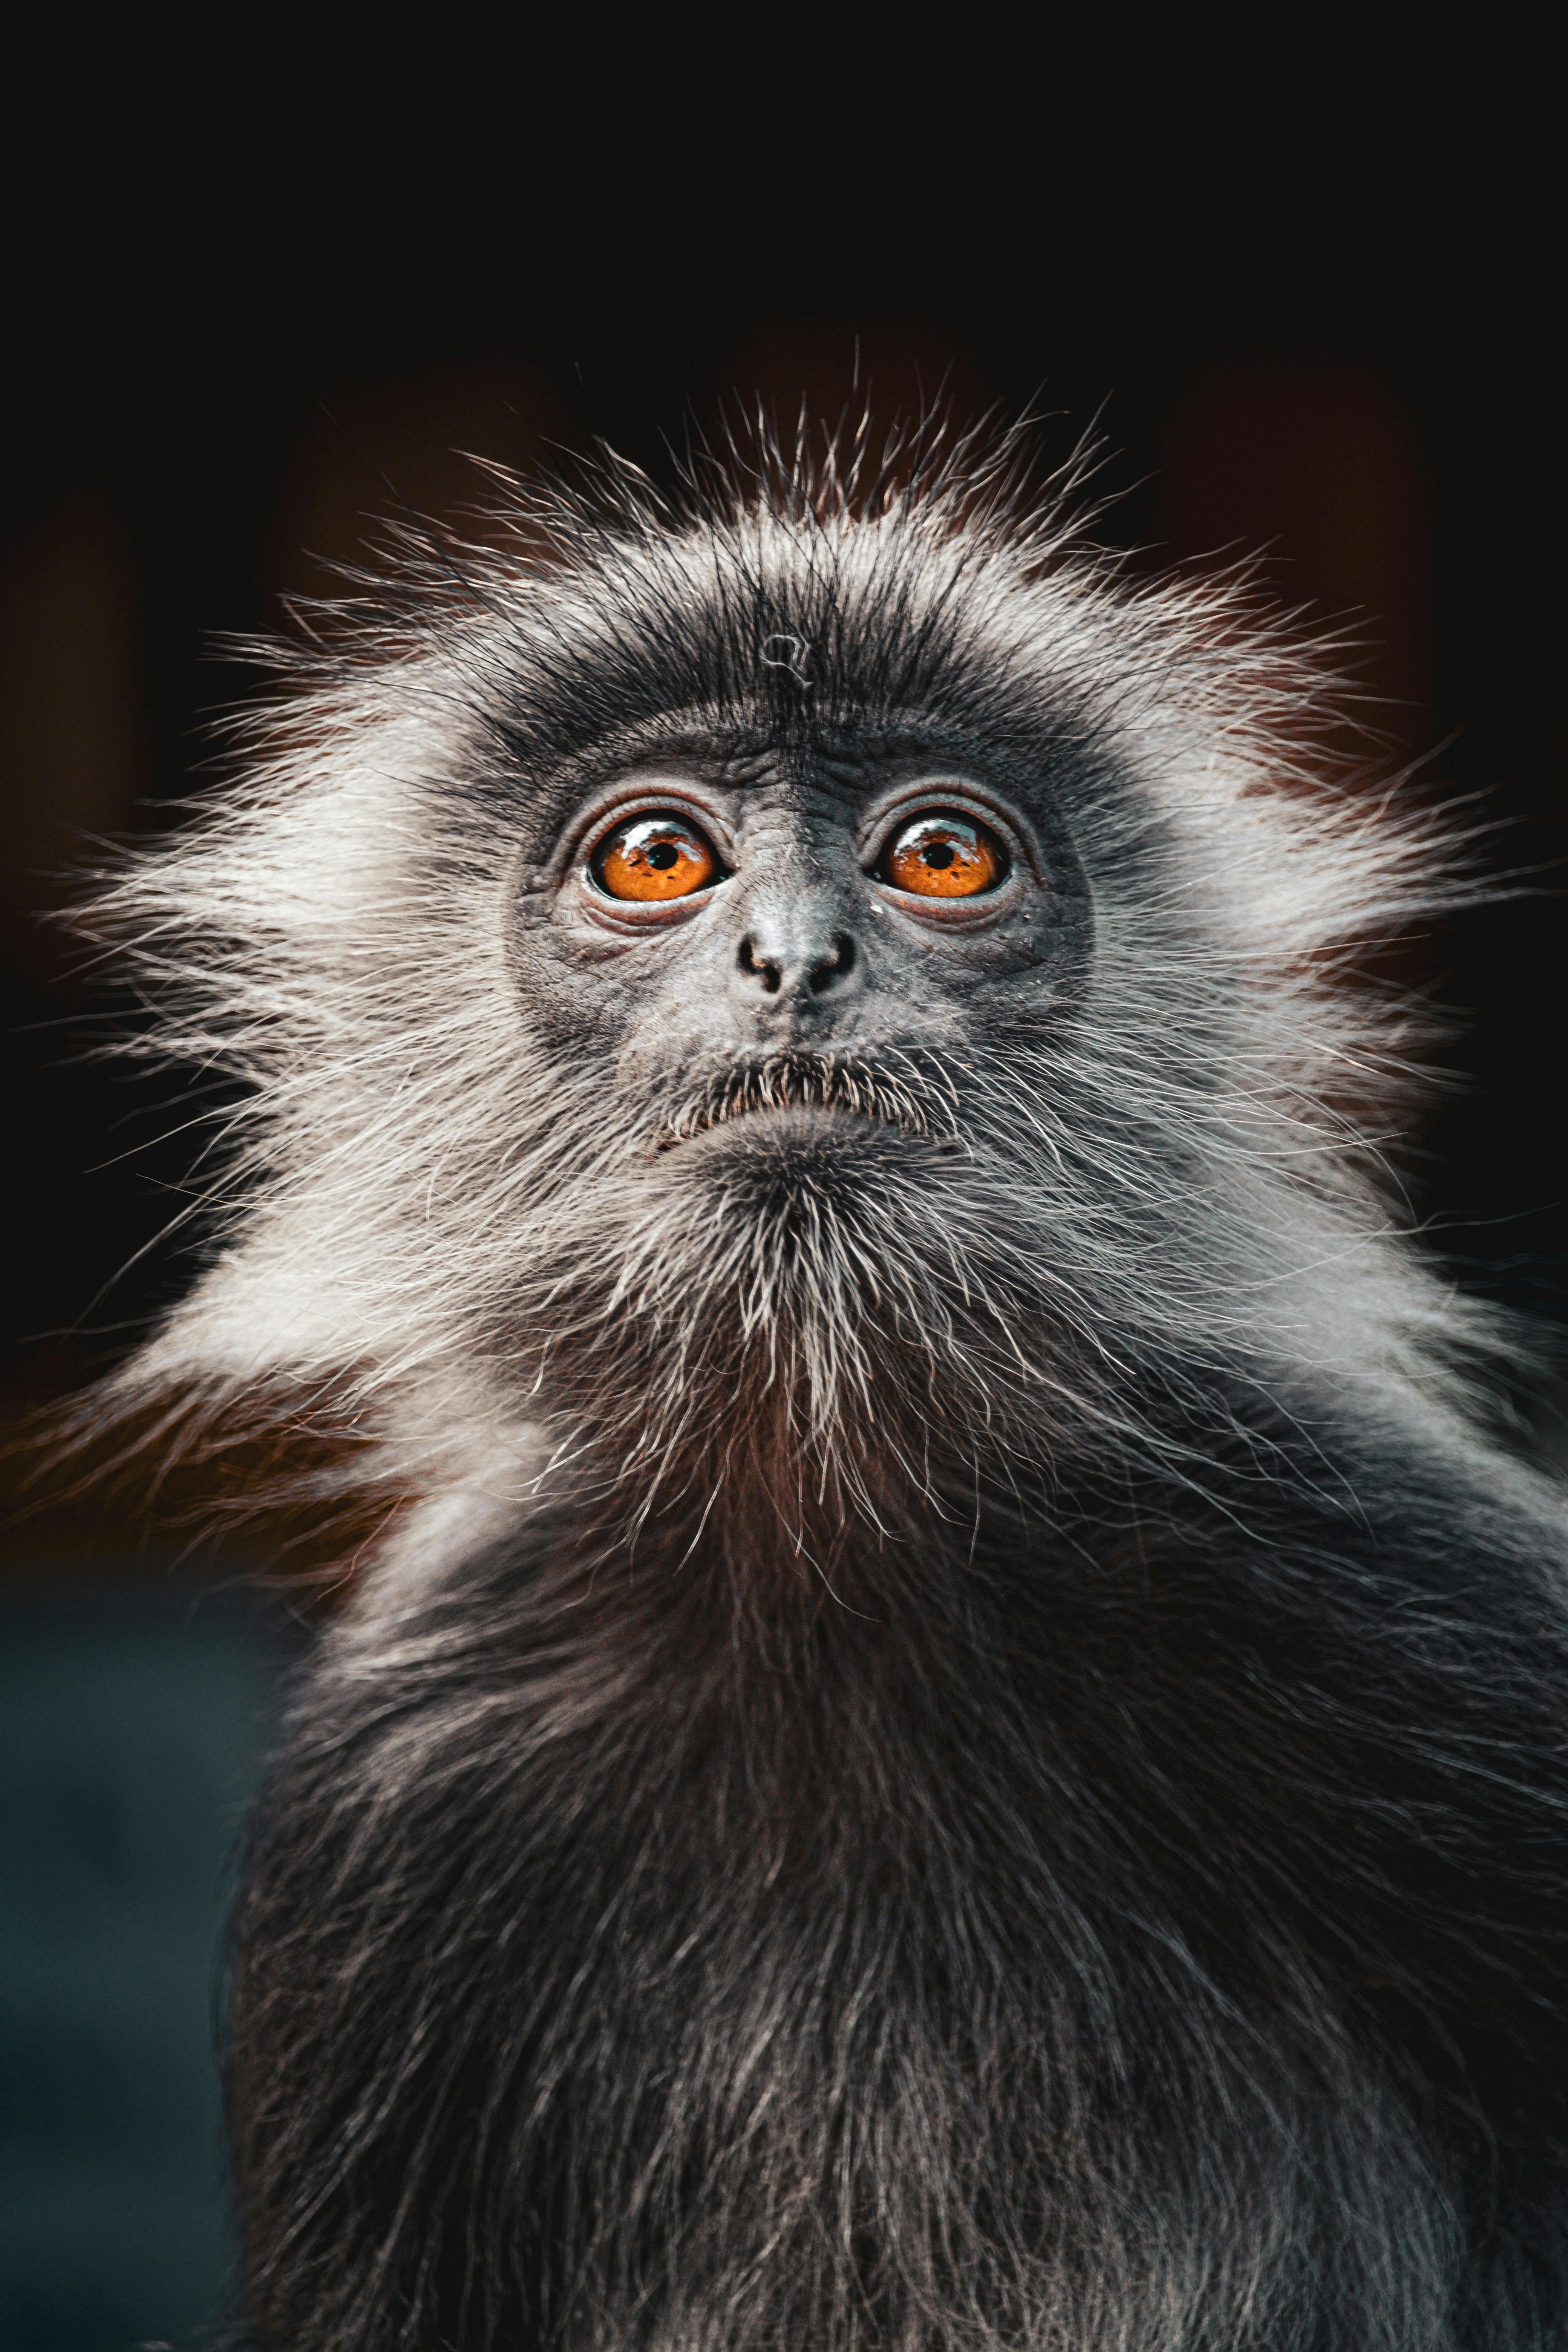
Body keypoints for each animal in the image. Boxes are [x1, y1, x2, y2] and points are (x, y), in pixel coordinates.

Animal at [75, 419, 1568, 2348]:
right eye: (654, 858)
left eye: (937, 855)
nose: (793, 960)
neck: (837, 1537)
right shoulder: (392, 1778)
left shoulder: (1389, 1561)